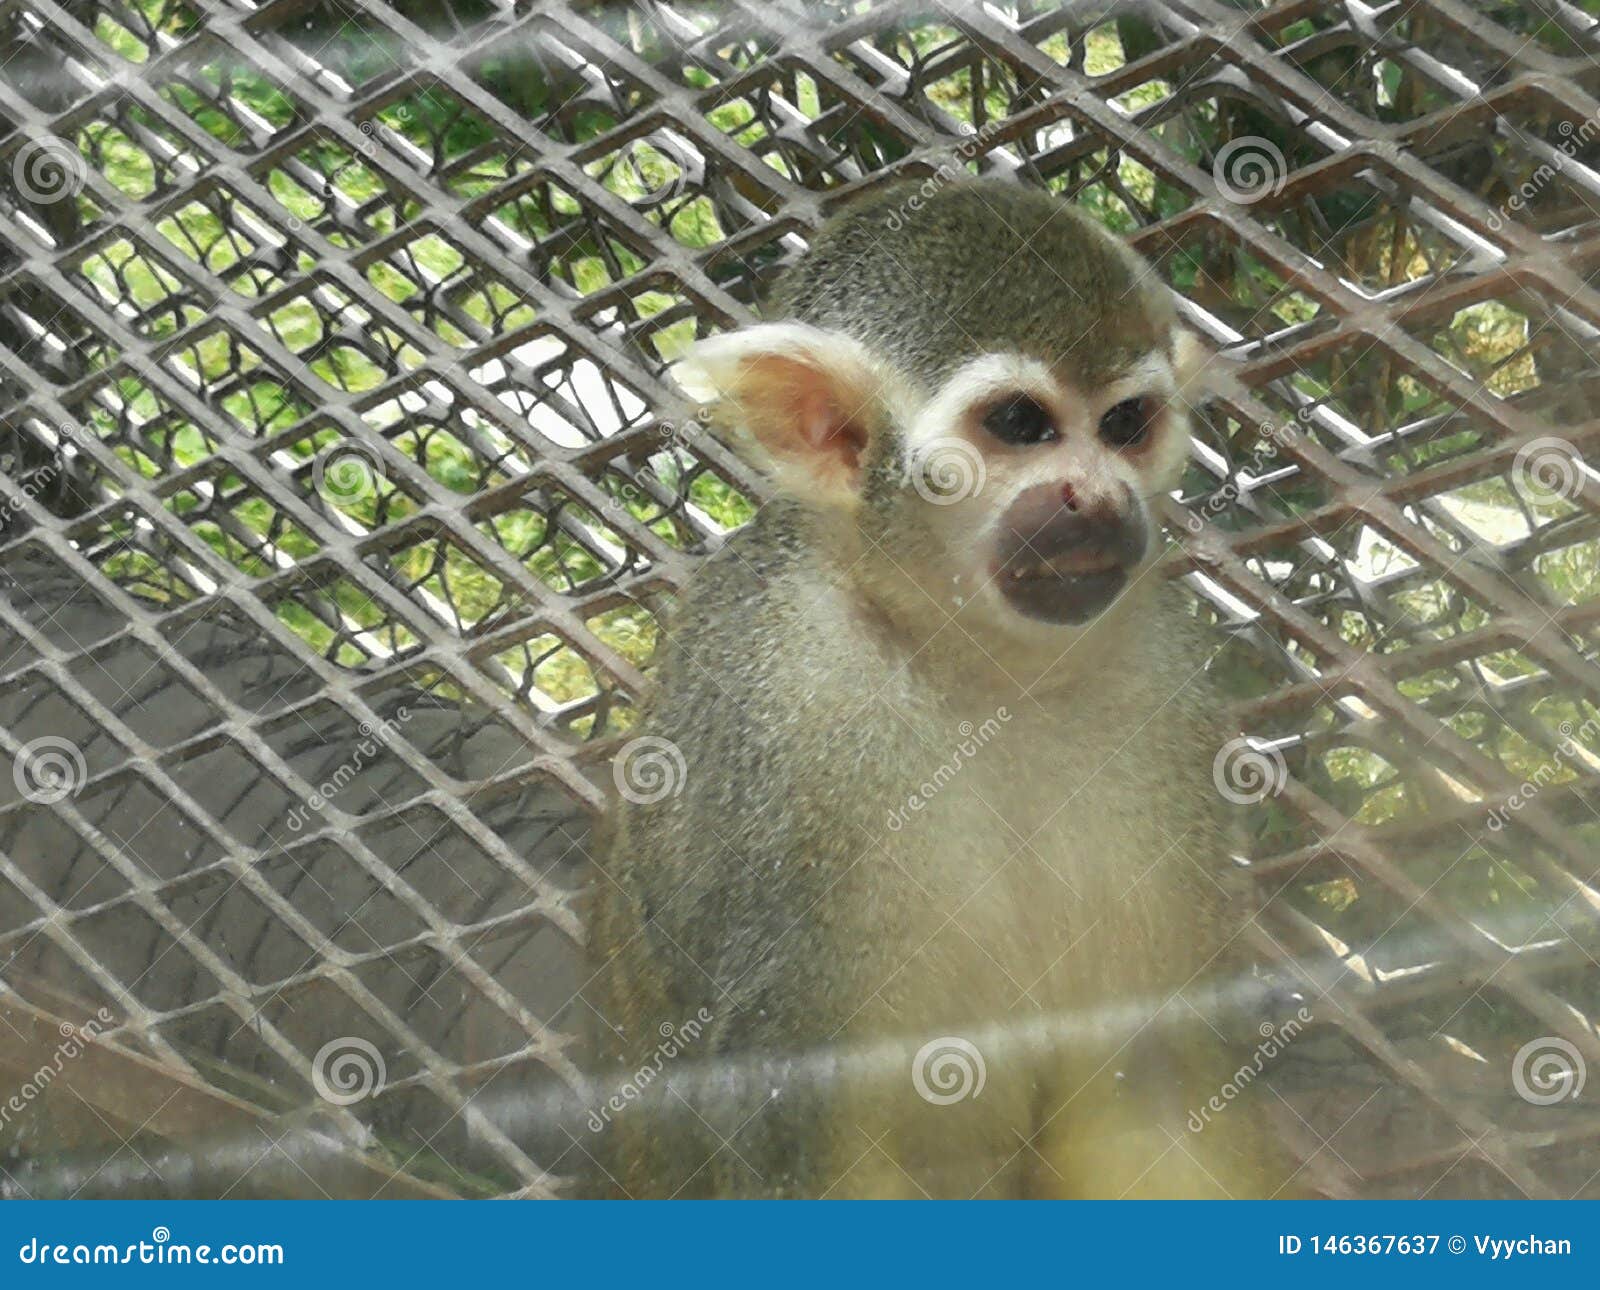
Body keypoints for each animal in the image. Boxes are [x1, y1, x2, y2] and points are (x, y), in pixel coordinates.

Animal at [582, 178, 1293, 1199]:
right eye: (1020, 425)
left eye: (1126, 426)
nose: (1097, 498)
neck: (974, 673)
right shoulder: (785, 724)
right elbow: (785, 1116)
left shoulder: (1159, 697)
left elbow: (1149, 1082)